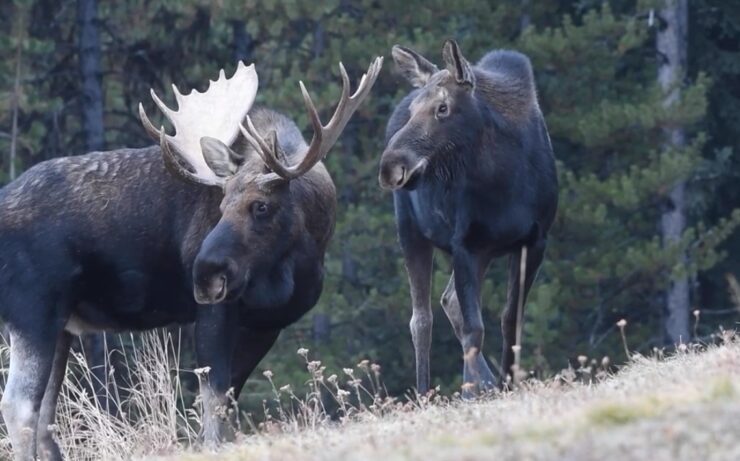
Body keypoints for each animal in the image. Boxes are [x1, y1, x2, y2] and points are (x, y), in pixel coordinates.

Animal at [0, 56, 382, 460]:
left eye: (261, 205)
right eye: (222, 205)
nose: (204, 274)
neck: (300, 258)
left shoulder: (267, 324)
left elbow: (229, 400)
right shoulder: (215, 312)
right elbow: (213, 402)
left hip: (60, 325)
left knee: (44, 414)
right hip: (35, 311)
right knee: (19, 405)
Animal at [378, 40, 557, 396]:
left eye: (443, 108)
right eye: (413, 110)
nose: (390, 165)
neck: (503, 182)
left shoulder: (534, 241)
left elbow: (510, 318)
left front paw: (506, 382)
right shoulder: (465, 244)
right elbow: (475, 326)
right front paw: (470, 390)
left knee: (447, 301)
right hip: (410, 230)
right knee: (422, 318)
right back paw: (426, 392)